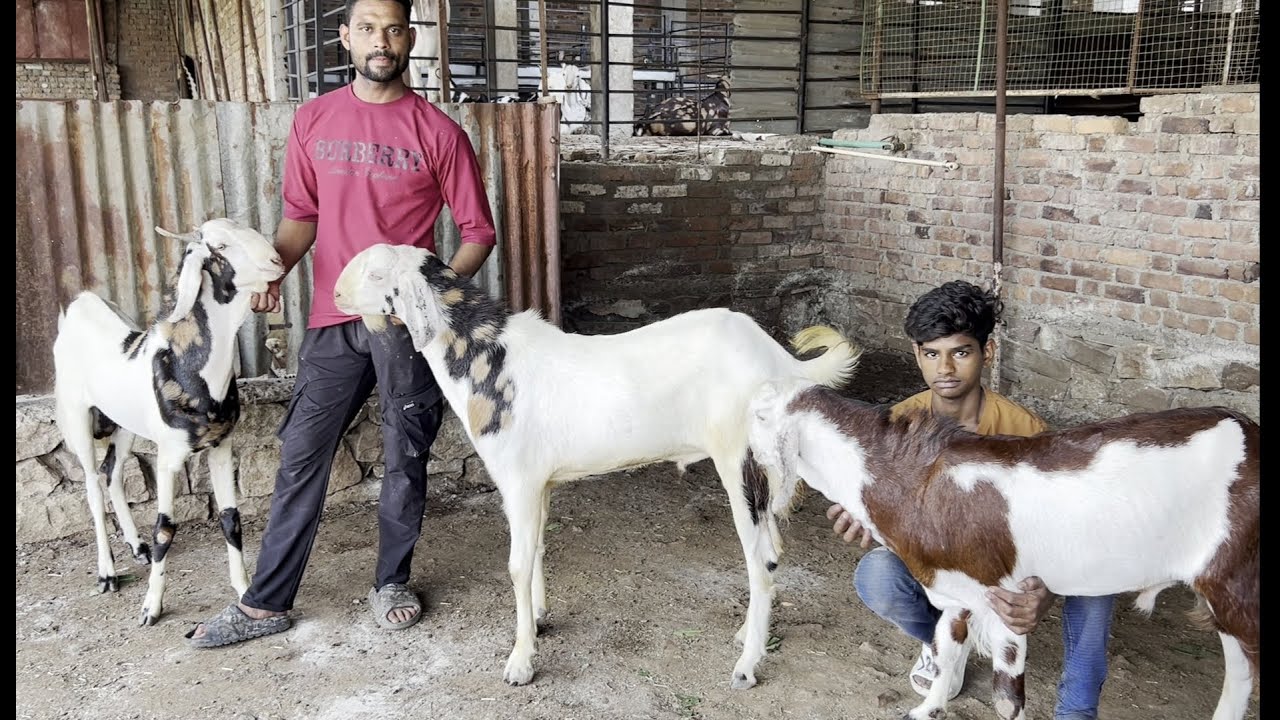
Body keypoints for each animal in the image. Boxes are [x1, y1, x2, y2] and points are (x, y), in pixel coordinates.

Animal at [53, 218, 285, 626]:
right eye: (220, 246)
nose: (277, 261)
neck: (187, 364)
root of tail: (80, 306)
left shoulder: (221, 447)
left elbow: (231, 519)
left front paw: (244, 590)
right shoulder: (169, 458)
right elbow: (165, 528)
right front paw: (152, 606)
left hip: (124, 425)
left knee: (112, 474)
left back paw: (136, 546)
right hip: (76, 414)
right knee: (93, 485)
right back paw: (107, 573)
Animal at [331, 243, 862, 689]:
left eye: (377, 273)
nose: (334, 292)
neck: (490, 360)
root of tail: (777, 359)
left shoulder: (518, 480)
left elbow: (517, 564)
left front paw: (520, 662)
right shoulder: (541, 483)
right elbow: (539, 549)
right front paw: (539, 619)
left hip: (740, 462)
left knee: (762, 559)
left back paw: (746, 666)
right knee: (773, 549)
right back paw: (748, 634)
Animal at [746, 379, 1260, 720]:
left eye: (761, 416)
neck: (913, 482)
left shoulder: (1005, 596)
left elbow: (1006, 697)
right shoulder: (954, 593)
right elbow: (946, 647)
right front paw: (928, 707)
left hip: (1237, 583)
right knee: (1239, 673)